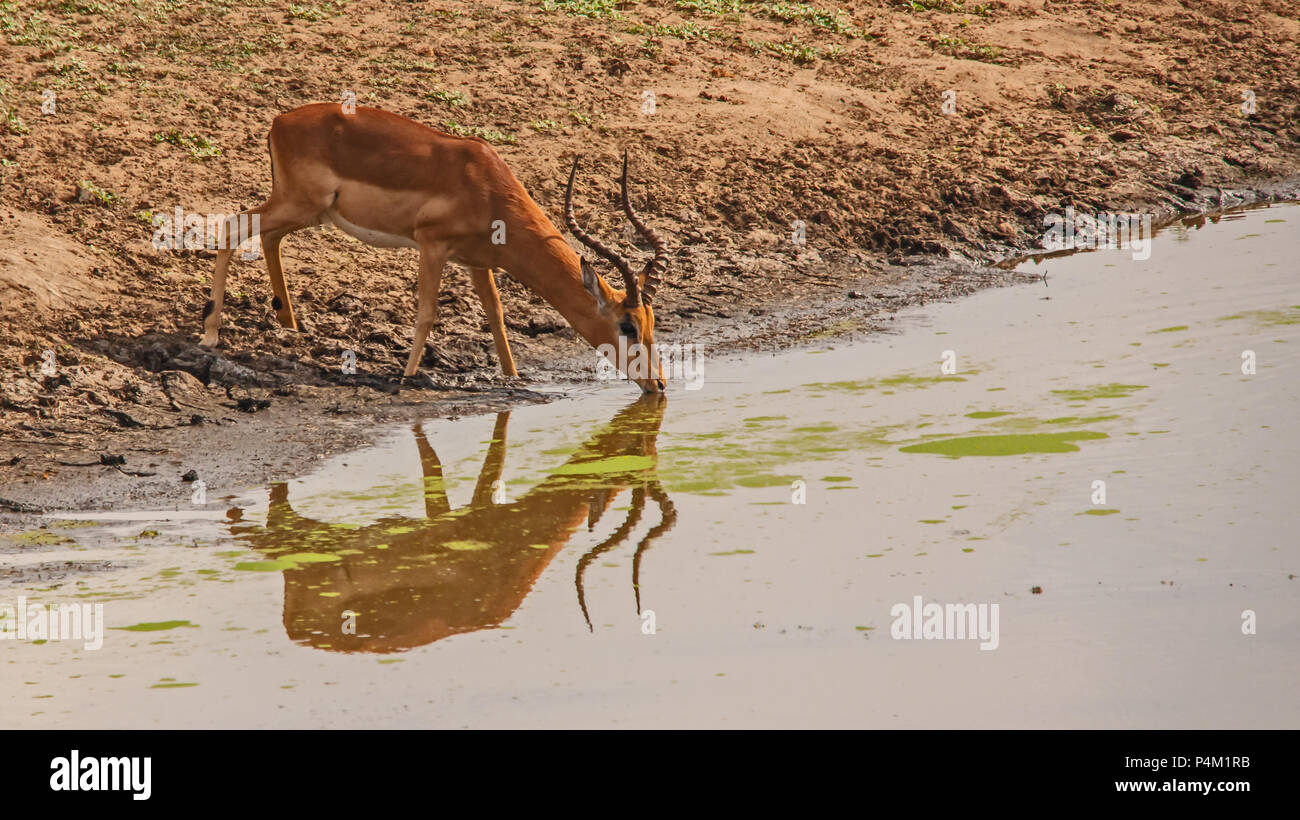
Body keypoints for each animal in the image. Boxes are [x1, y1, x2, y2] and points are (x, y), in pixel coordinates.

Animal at [199, 102, 668, 391]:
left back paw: (289, 324)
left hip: (307, 212)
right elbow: (426, 314)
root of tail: (280, 121)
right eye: (626, 326)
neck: (486, 185)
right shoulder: (432, 245)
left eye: (652, 323)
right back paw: (210, 334)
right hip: (298, 204)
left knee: (267, 237)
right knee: (231, 227)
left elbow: (497, 317)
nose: (660, 384)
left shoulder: (479, 261)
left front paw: (514, 376)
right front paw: (407, 378)